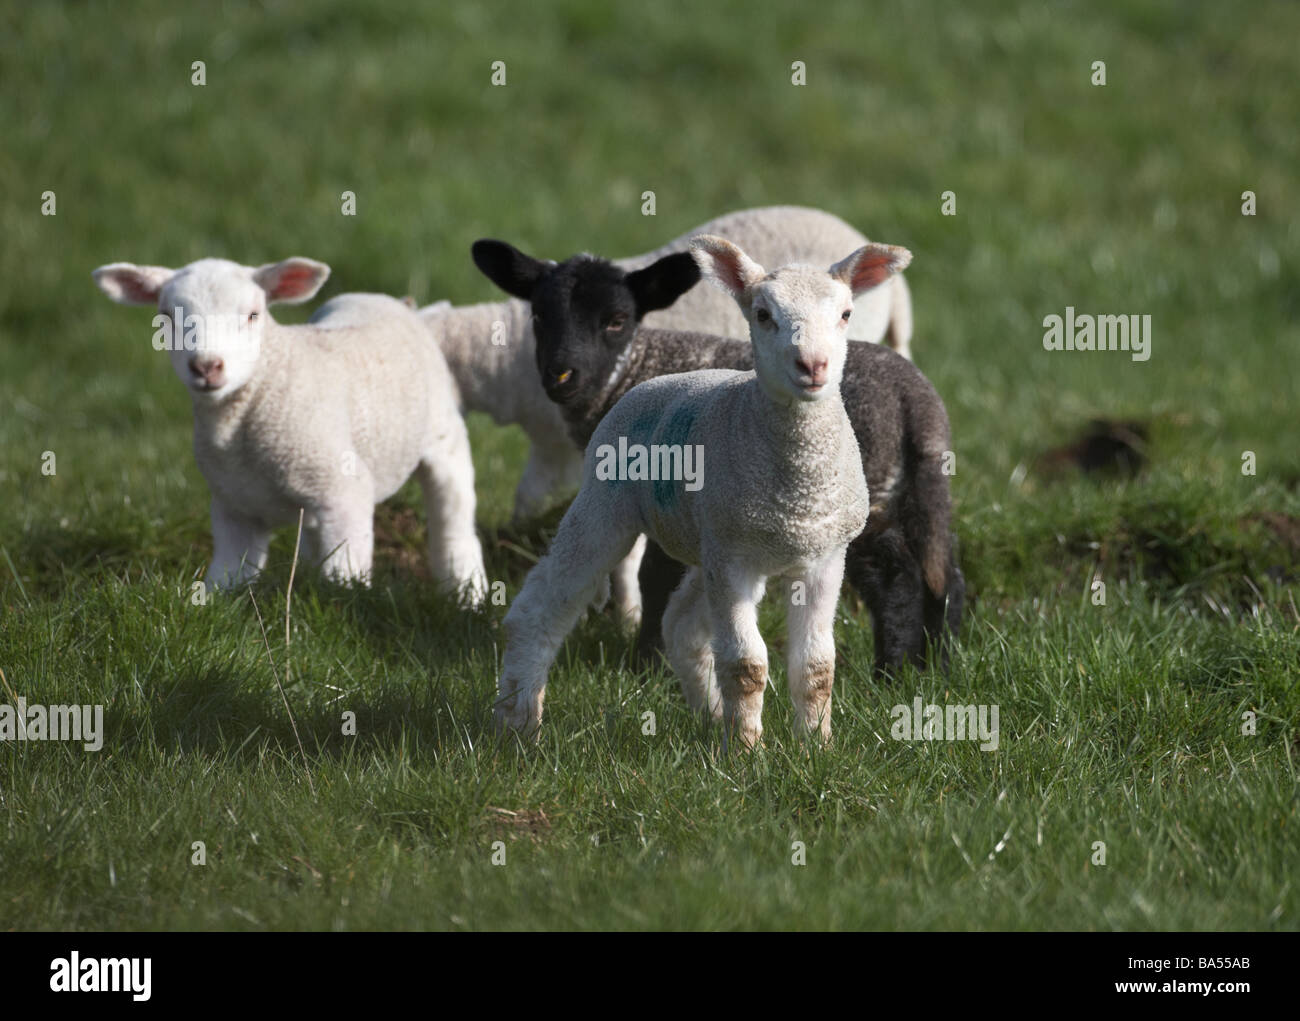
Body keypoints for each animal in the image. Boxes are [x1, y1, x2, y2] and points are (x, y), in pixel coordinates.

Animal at [91, 257, 489, 605]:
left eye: (253, 315)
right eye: (166, 316)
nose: (206, 366)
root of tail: (397, 303)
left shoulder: (345, 491)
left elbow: (344, 575)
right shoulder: (235, 506)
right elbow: (227, 577)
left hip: (444, 436)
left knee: (454, 523)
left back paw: (467, 590)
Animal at [472, 233, 965, 682]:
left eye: (616, 320)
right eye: (538, 315)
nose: (560, 376)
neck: (632, 367)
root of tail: (917, 400)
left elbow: (655, 575)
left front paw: (648, 662)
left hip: (859, 500)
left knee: (896, 575)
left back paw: (890, 672)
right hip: (916, 488)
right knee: (944, 573)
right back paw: (939, 666)